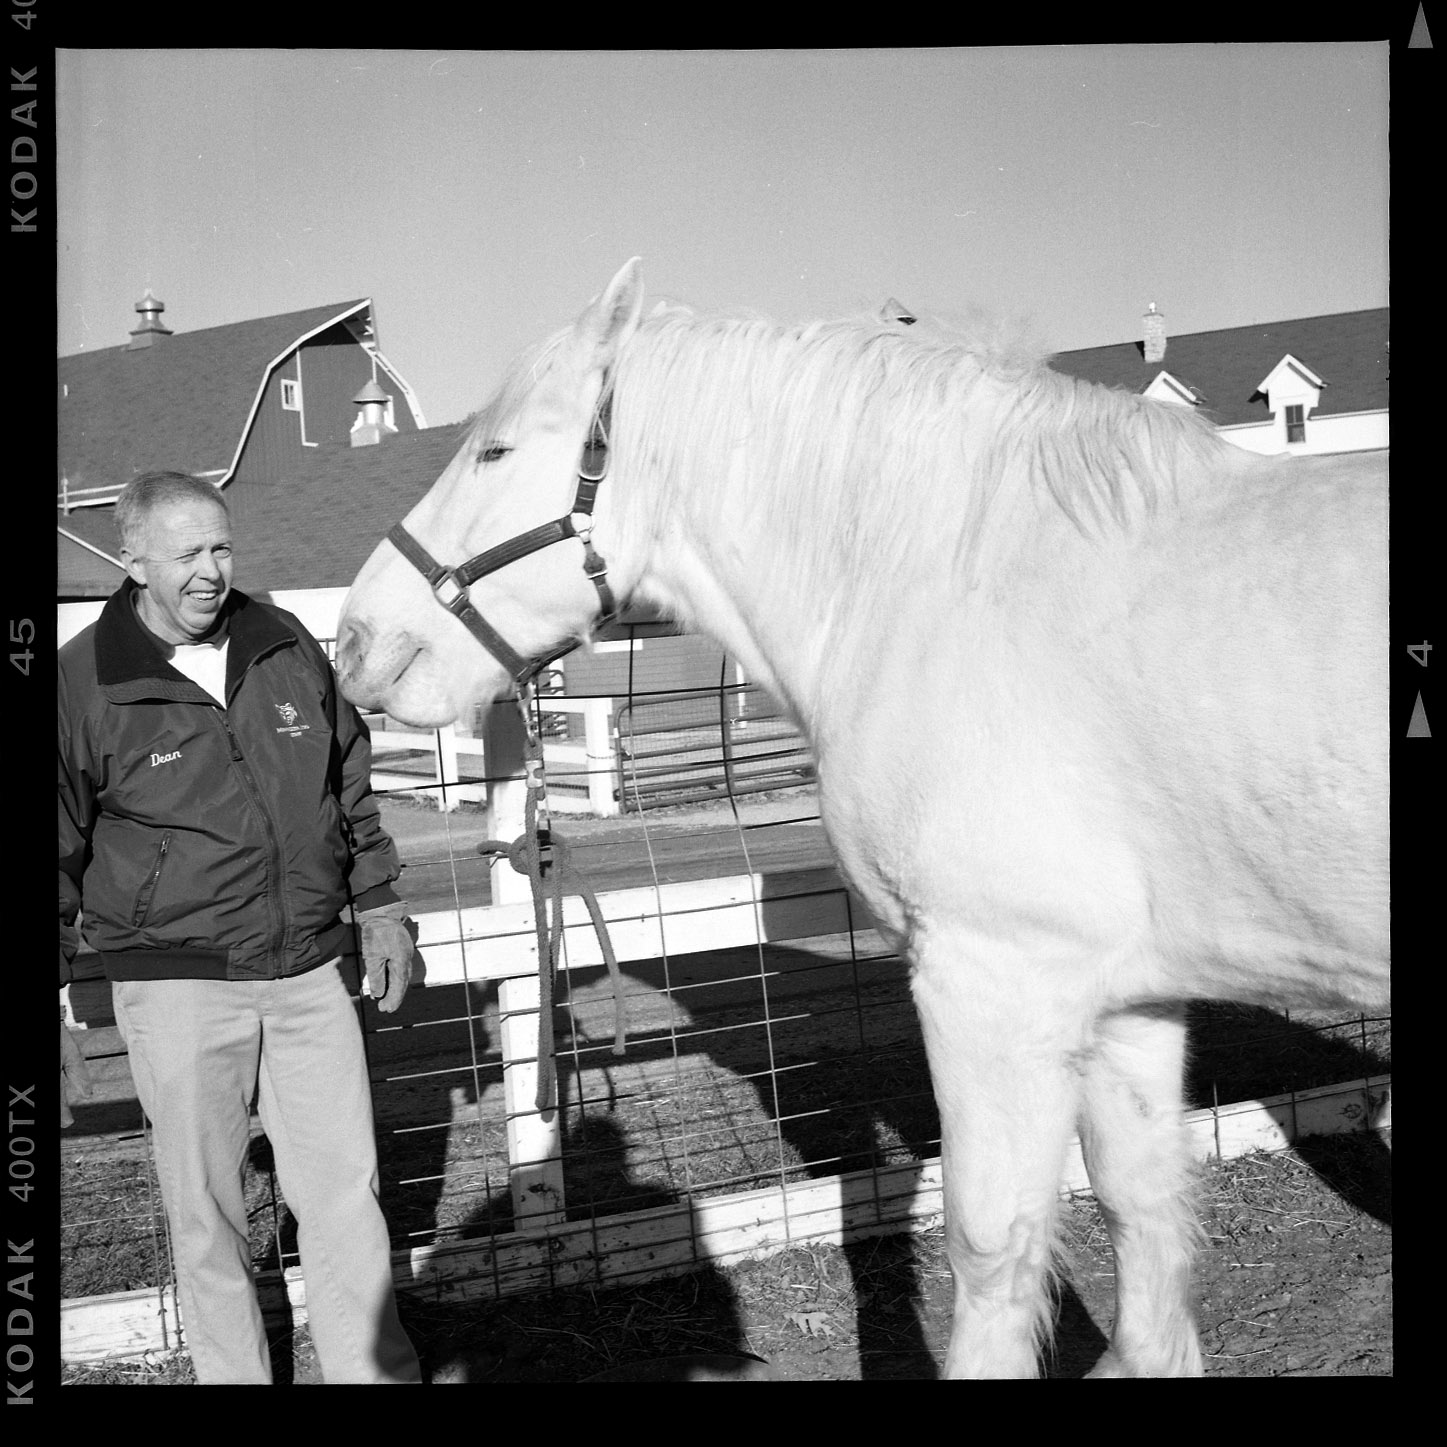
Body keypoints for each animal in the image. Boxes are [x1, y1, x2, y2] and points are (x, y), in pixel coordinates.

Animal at [335, 259, 1389, 1378]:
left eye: (494, 449)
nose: (356, 641)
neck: (959, 577)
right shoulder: (1128, 997)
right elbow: (1136, 1205)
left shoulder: (993, 982)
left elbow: (989, 1243)